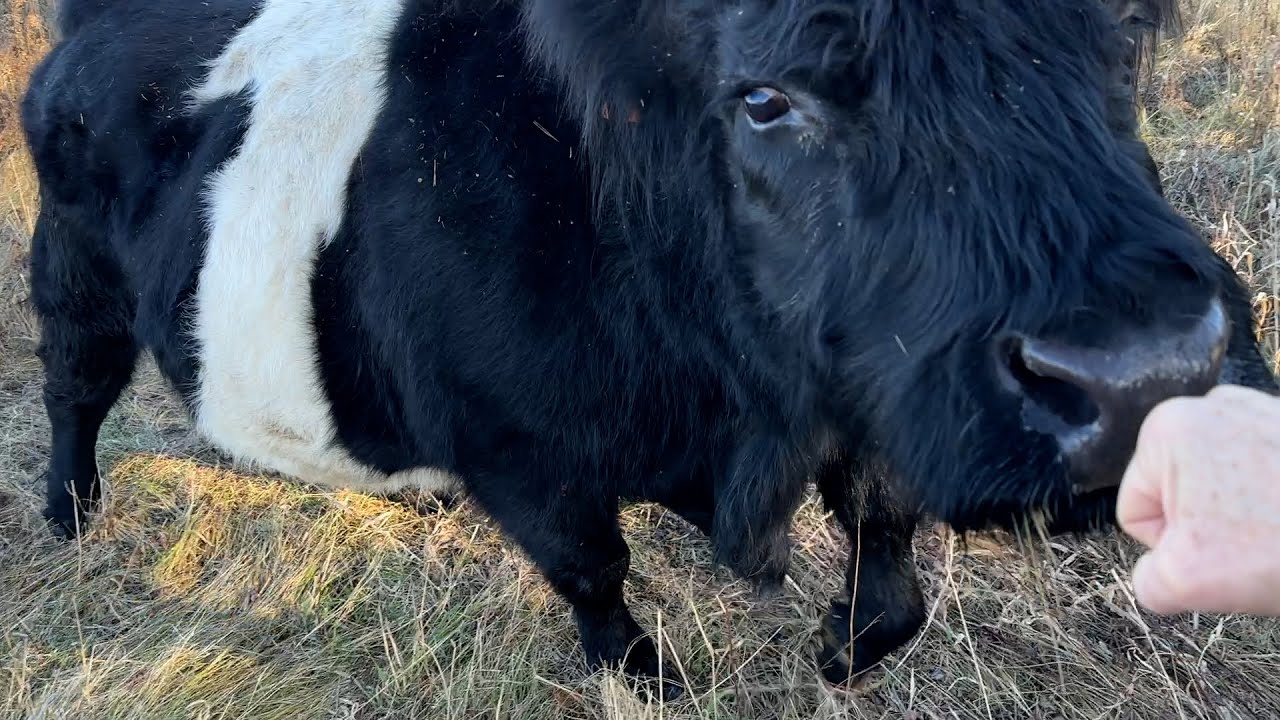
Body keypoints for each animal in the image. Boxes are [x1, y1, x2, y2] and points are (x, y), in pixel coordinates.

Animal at [20, 0, 1278, 700]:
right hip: (72, 271)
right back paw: (71, 515)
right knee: (73, 390)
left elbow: (887, 567)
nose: (1147, 375)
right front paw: (646, 678)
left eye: (1121, 38)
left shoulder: (863, 398)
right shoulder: (524, 455)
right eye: (762, 100)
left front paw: (836, 655)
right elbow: (594, 570)